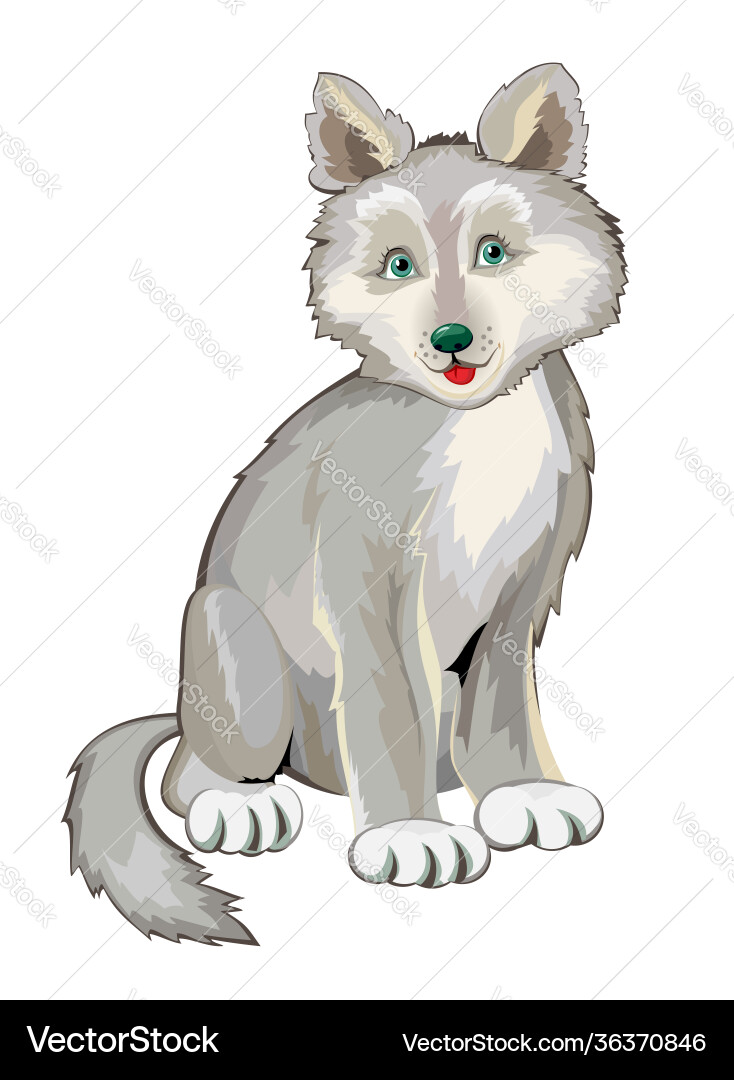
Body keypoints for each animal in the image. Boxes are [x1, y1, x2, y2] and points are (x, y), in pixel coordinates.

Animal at [65, 63, 626, 945]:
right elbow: (391, 715)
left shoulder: (522, 593)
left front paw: (521, 793)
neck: (480, 434)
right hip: (231, 637)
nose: (452, 340)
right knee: (193, 771)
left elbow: (504, 708)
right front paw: (409, 835)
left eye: (493, 253)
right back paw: (243, 804)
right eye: (399, 266)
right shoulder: (363, 584)